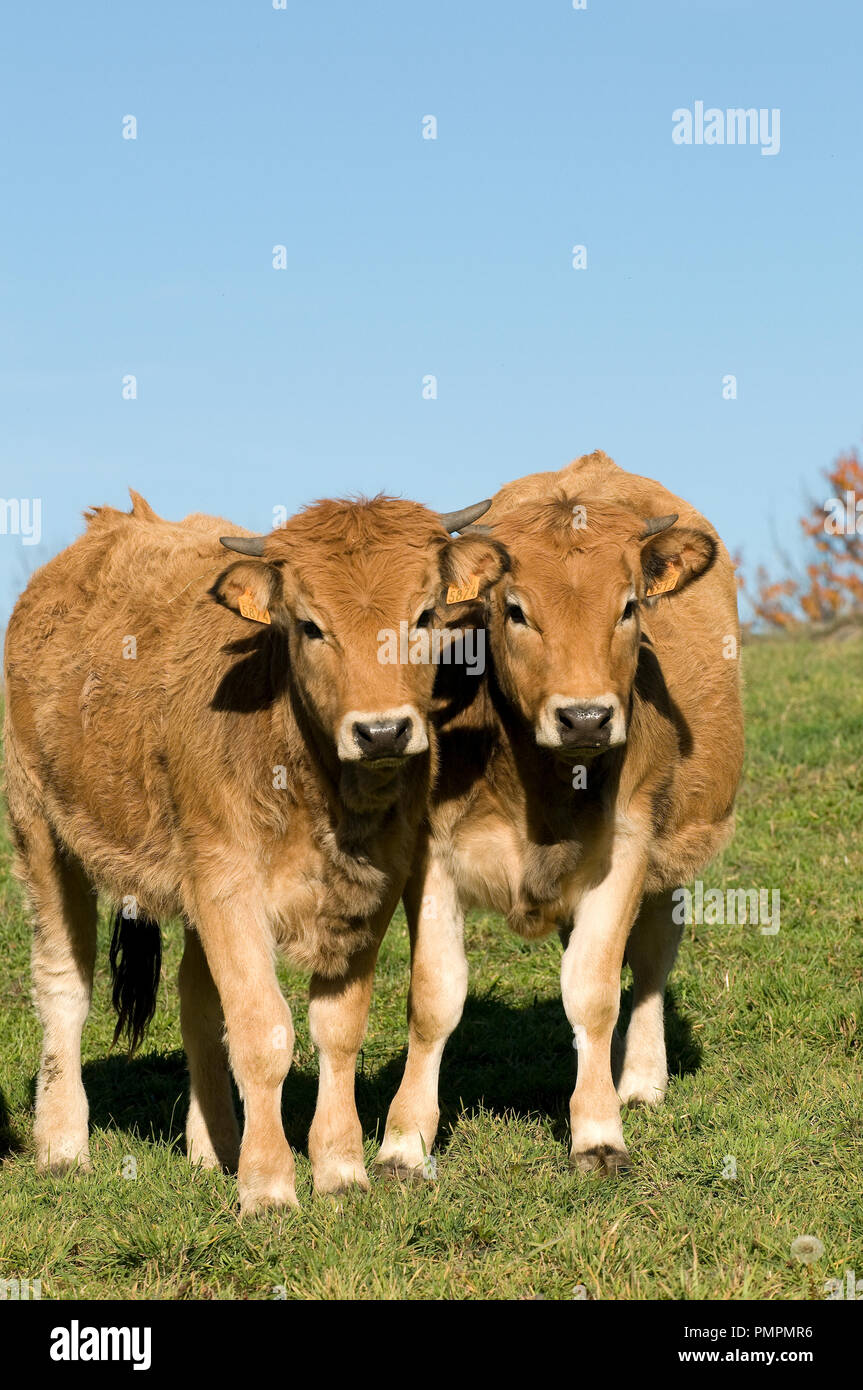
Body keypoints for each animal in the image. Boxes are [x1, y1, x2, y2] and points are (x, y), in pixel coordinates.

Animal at [3, 489, 504, 1213]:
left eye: (424, 616)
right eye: (310, 626)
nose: (381, 731)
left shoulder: (372, 888)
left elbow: (335, 1028)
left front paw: (339, 1166)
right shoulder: (228, 886)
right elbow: (264, 1032)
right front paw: (268, 1185)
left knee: (195, 1001)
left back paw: (212, 1145)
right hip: (40, 832)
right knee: (63, 986)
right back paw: (63, 1144)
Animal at [377, 451, 744, 1178]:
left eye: (628, 605)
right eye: (515, 610)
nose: (586, 716)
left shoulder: (625, 851)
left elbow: (596, 992)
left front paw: (597, 1128)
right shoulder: (430, 857)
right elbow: (433, 998)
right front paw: (404, 1140)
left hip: (668, 860)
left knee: (650, 961)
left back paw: (638, 1079)